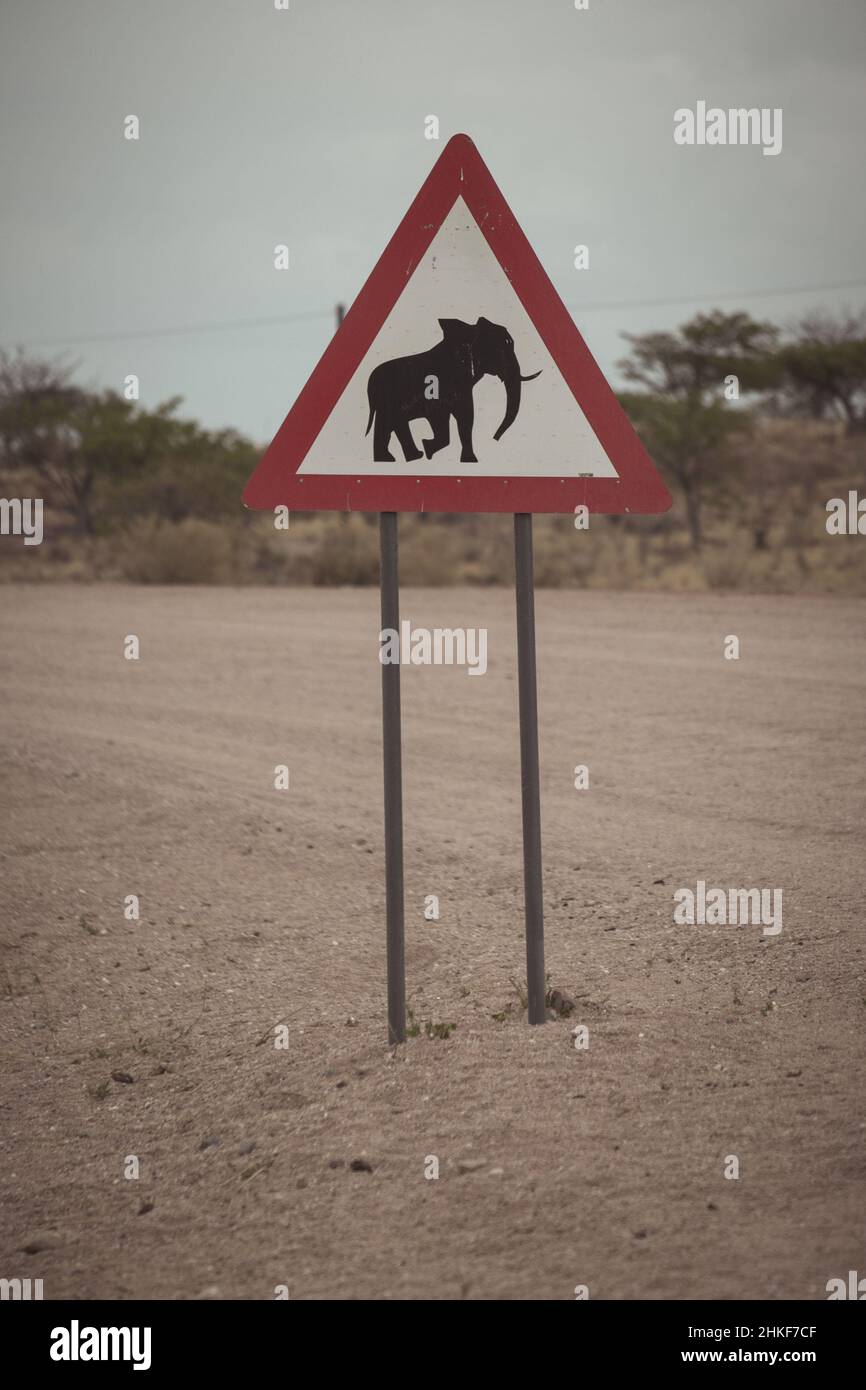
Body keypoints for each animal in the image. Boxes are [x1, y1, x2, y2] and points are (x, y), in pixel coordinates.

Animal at [364, 317, 541, 464]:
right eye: (501, 349)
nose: (495, 438)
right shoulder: (439, 390)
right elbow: (445, 418)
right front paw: (428, 448)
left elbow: (466, 418)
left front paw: (469, 461)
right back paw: (406, 457)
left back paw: (394, 459)